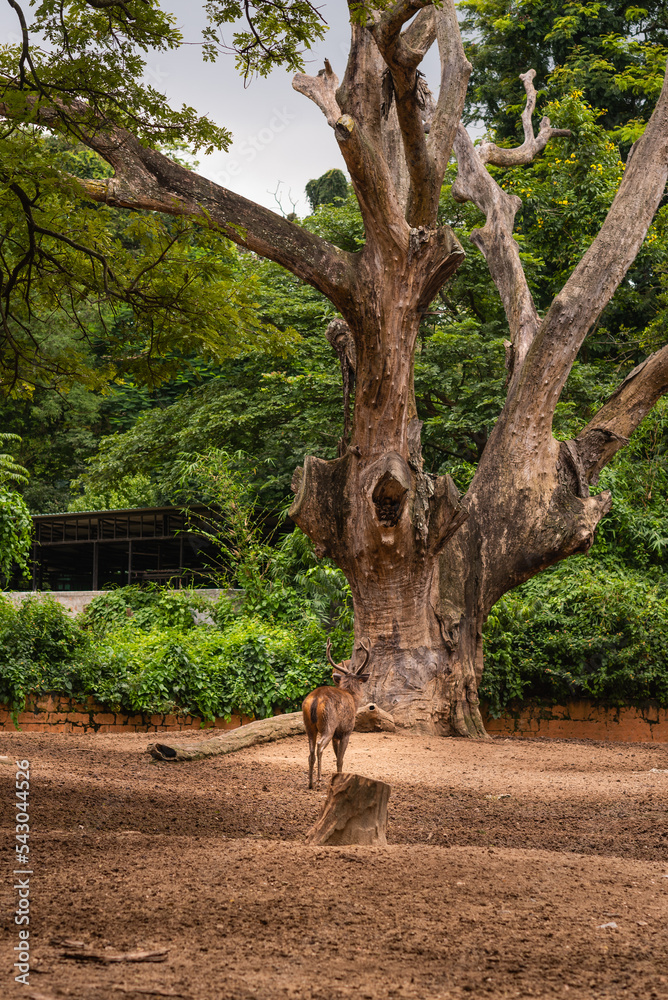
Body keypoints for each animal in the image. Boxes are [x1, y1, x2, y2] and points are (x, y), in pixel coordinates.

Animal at [302, 637, 371, 790]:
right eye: (360, 683)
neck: (353, 699)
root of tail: (315, 699)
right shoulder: (346, 731)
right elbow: (340, 759)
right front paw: (341, 778)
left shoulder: (335, 736)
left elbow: (336, 756)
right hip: (329, 723)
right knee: (319, 746)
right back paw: (319, 780)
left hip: (309, 726)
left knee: (310, 752)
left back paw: (310, 783)